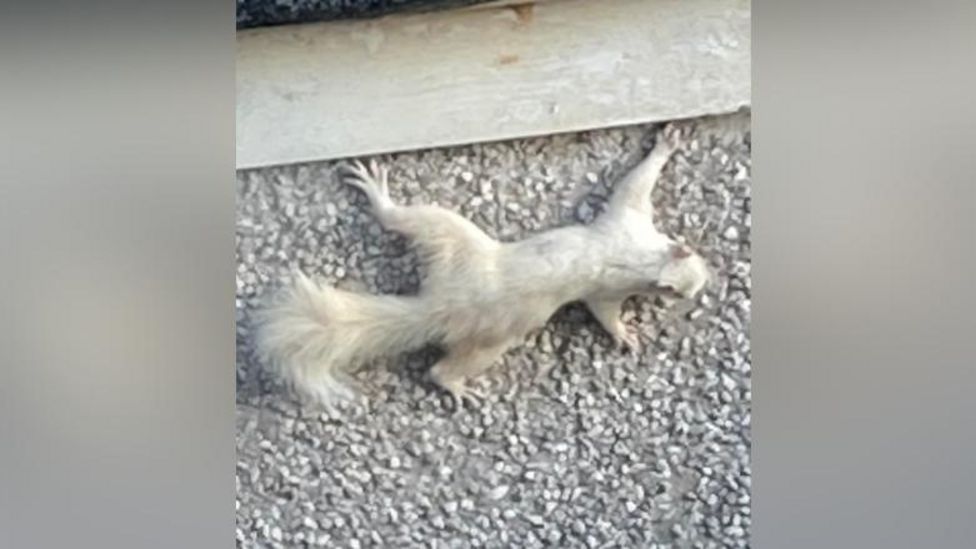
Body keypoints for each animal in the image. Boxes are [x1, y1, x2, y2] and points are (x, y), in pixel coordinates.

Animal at [254, 123, 711, 408]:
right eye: (684, 290)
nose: (704, 284)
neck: (645, 256)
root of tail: (442, 303)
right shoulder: (621, 241)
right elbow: (635, 187)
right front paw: (624, 334)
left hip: (448, 243)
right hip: (490, 334)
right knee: (443, 366)